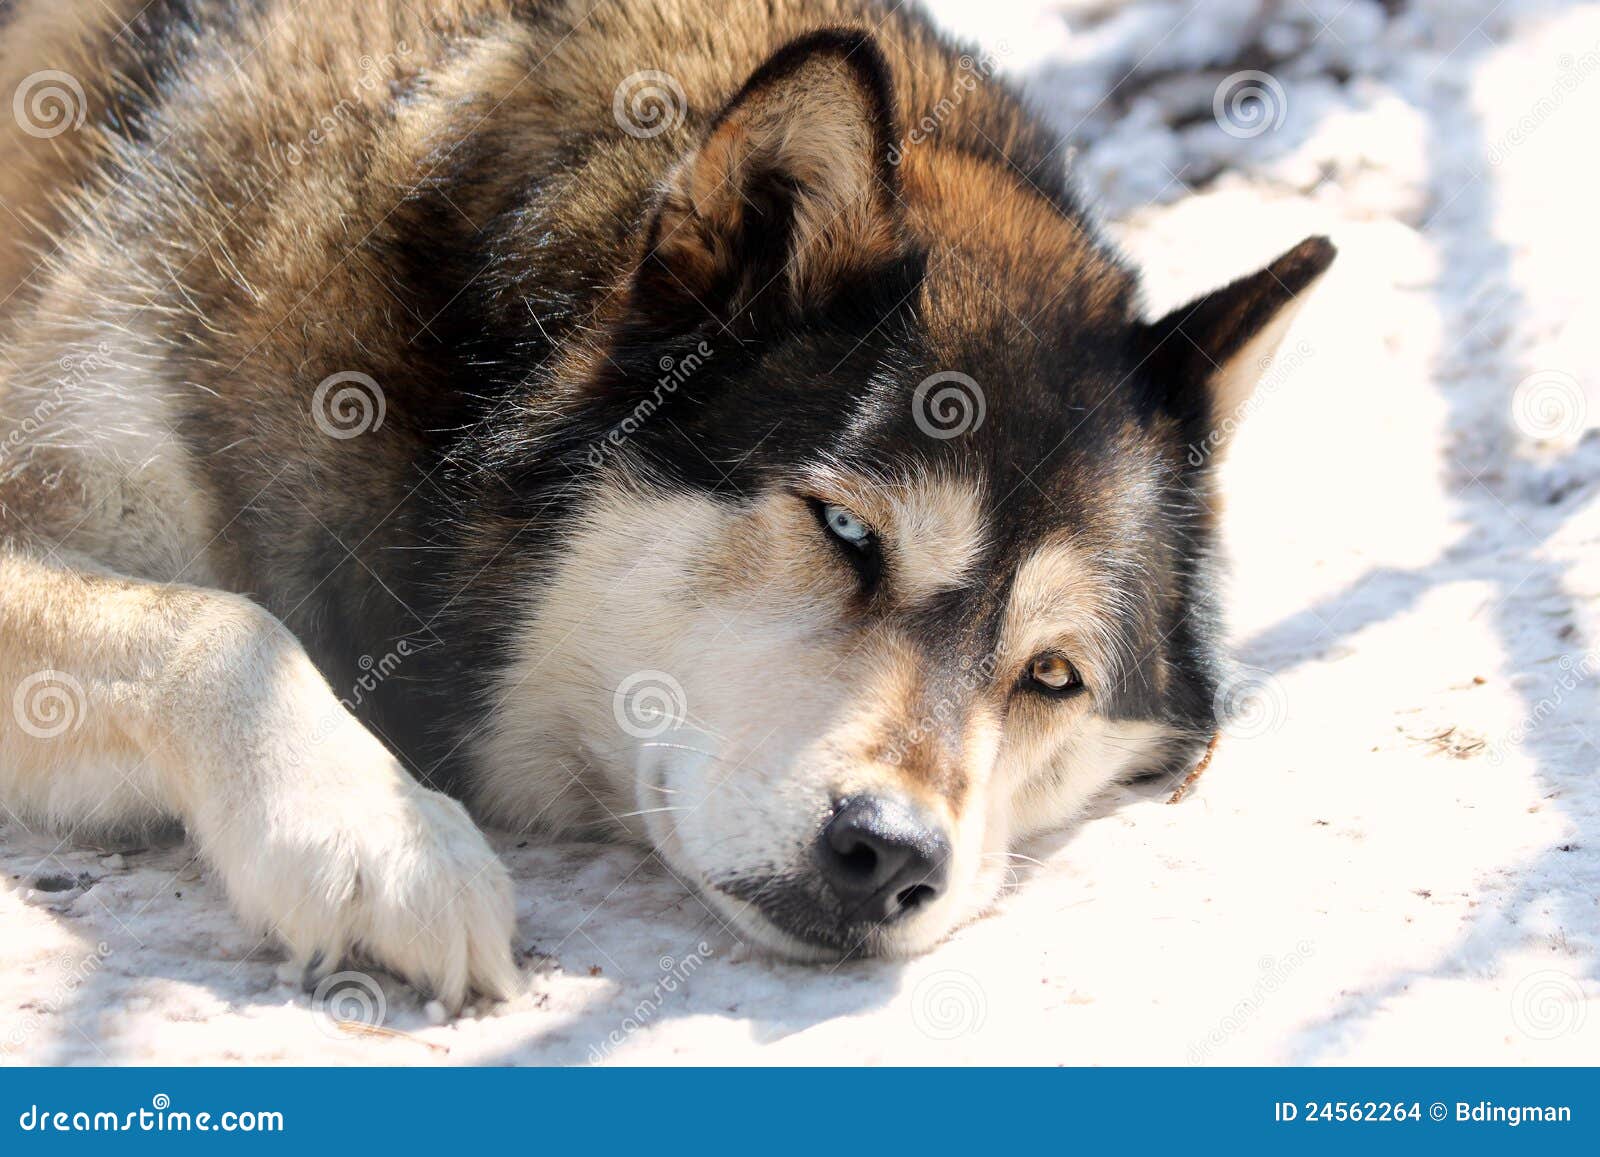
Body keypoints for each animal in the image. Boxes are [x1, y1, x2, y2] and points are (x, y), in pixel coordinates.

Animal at [0, 0, 1333, 1008]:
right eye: (846, 532)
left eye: (1051, 674)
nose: (891, 856)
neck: (455, 348)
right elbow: (226, 625)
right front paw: (381, 839)